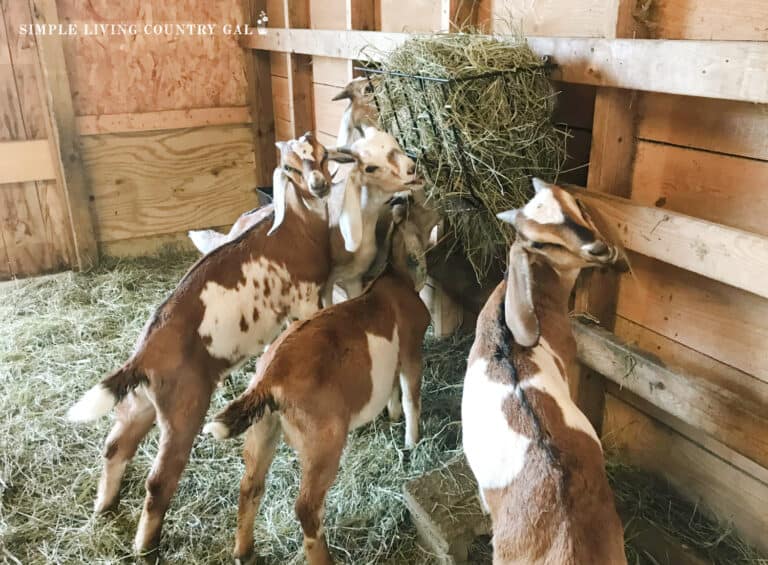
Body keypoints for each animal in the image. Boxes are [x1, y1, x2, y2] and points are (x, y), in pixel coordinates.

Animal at [65, 133, 353, 555]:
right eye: (290, 167)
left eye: (321, 156)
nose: (318, 186)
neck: (294, 227)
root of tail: (142, 357)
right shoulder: (303, 299)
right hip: (184, 409)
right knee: (158, 481)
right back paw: (146, 547)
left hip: (143, 404)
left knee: (116, 446)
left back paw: (105, 505)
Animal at [203, 198, 437, 565]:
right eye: (423, 207)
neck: (395, 279)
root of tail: (269, 378)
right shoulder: (413, 348)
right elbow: (412, 395)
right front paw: (413, 441)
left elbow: (392, 391)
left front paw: (393, 416)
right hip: (321, 441)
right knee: (306, 507)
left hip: (263, 429)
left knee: (250, 486)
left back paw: (245, 551)